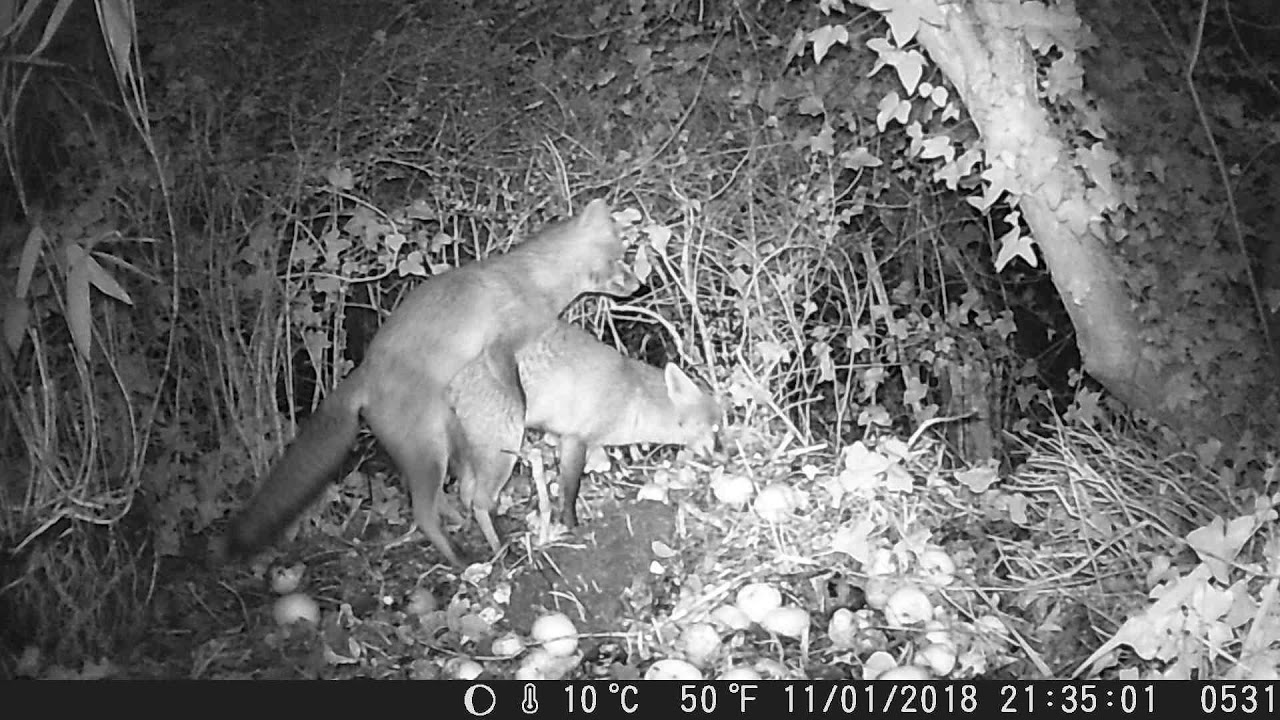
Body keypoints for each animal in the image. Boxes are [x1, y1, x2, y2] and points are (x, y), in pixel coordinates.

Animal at [222, 199, 639, 566]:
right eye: (619, 258)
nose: (638, 285)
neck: (532, 281)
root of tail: (365, 372)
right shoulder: (499, 346)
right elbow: (516, 394)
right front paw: (520, 419)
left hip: (441, 439)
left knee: (447, 497)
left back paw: (462, 527)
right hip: (428, 450)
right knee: (423, 513)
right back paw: (459, 557)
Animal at [442, 320, 723, 556]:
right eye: (715, 427)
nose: (722, 457)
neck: (630, 397)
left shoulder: (565, 438)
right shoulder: (575, 438)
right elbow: (570, 491)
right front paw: (572, 526)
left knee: (466, 494)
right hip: (502, 451)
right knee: (479, 502)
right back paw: (500, 549)